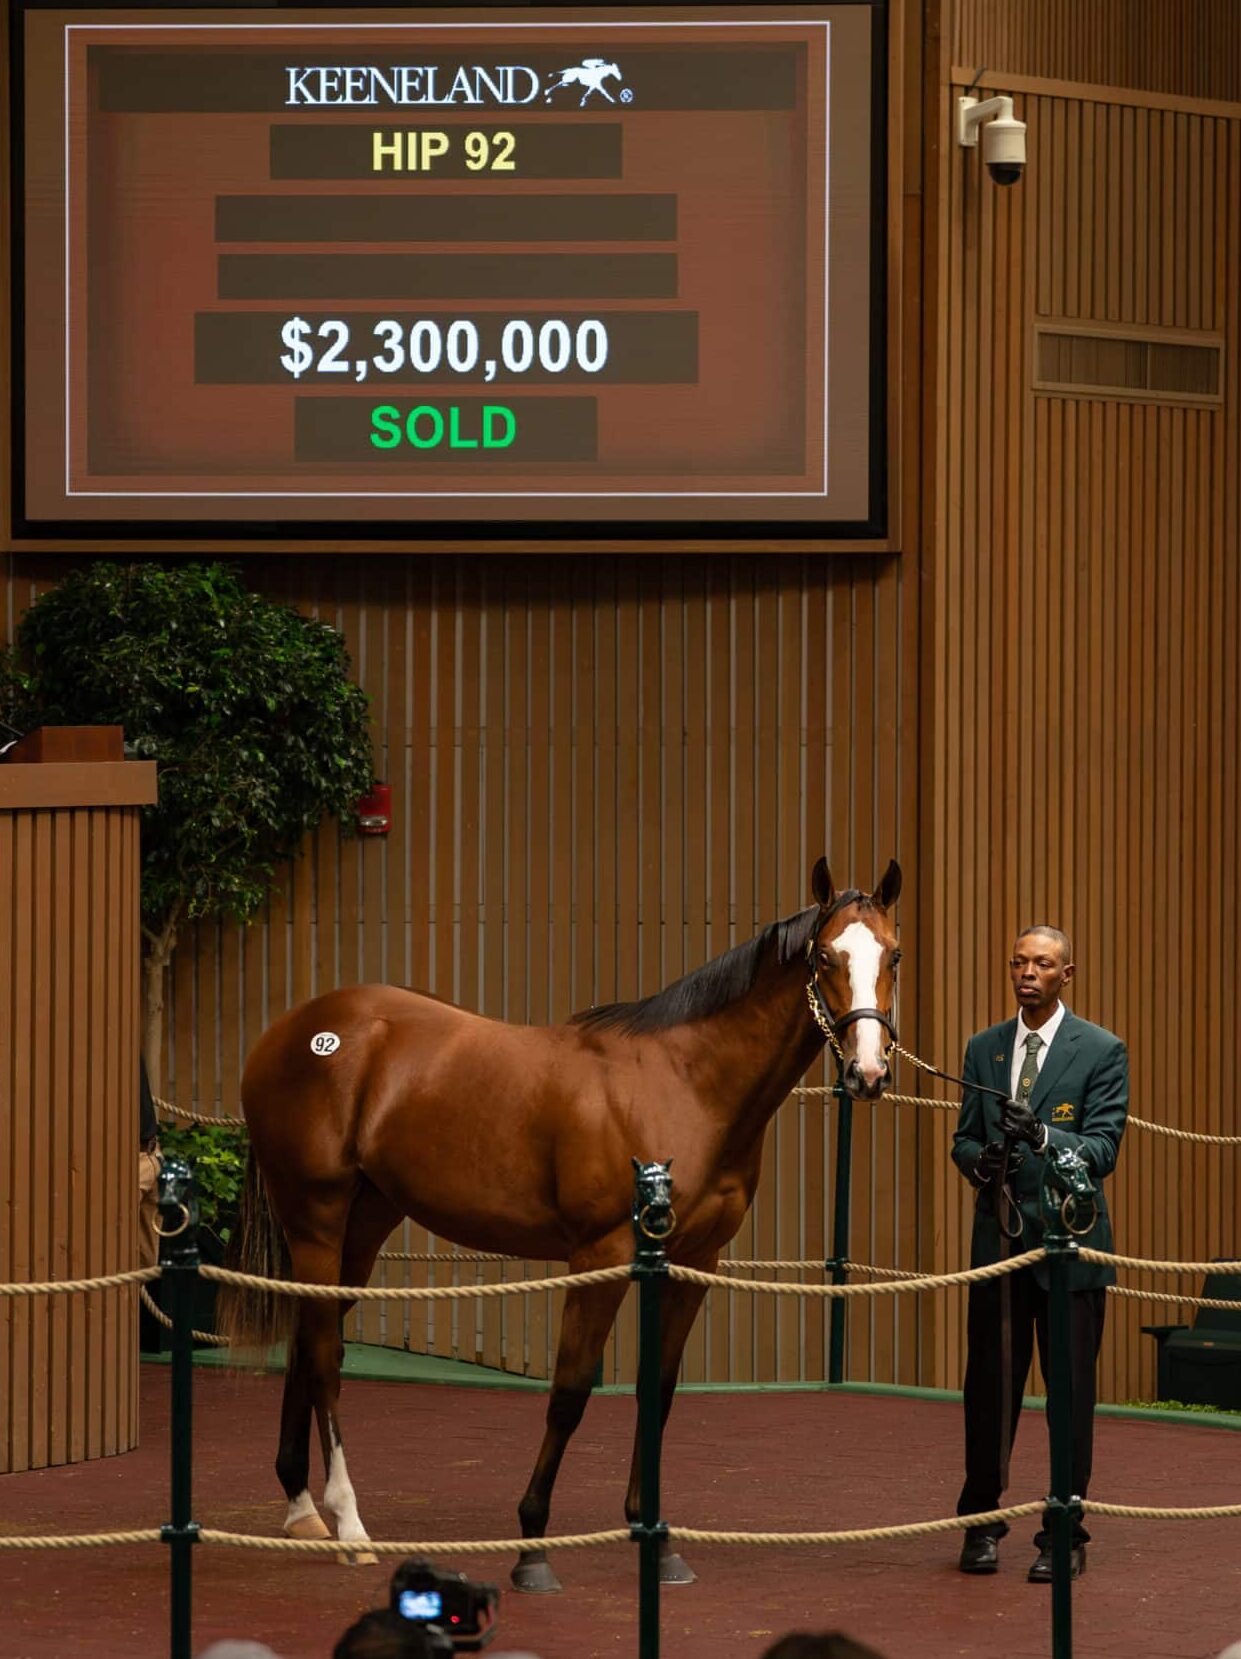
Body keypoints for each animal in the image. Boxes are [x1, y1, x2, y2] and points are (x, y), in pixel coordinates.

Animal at [221, 856, 902, 1591]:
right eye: (825, 955)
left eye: (893, 954)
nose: (867, 1072)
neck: (684, 1083)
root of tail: (296, 1029)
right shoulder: (600, 1256)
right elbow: (569, 1392)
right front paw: (532, 1545)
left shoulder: (692, 1262)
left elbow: (658, 1392)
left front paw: (656, 1538)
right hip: (315, 1217)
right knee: (323, 1356)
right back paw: (350, 1525)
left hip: (364, 1223)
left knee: (306, 1343)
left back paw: (301, 1509)